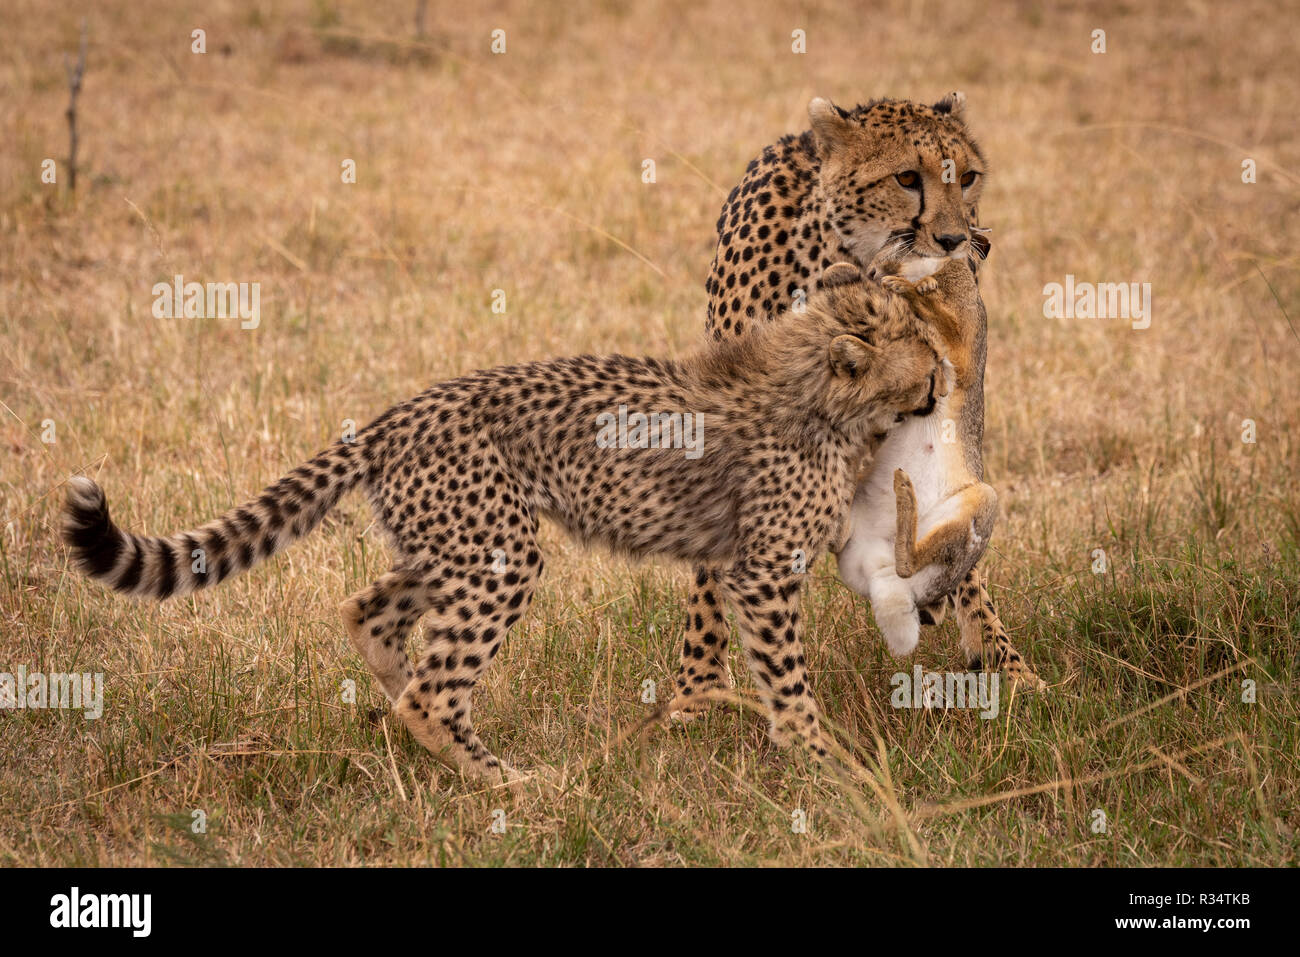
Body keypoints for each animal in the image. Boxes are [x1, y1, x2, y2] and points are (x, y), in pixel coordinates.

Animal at [63, 262, 946, 784]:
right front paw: (829, 764)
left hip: (457, 544)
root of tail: (394, 416)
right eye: (926, 354)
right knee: (433, 686)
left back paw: (407, 721)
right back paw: (499, 779)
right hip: (500, 551)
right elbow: (789, 678)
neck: (823, 392)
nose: (945, 378)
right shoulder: (760, 568)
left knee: (367, 611)